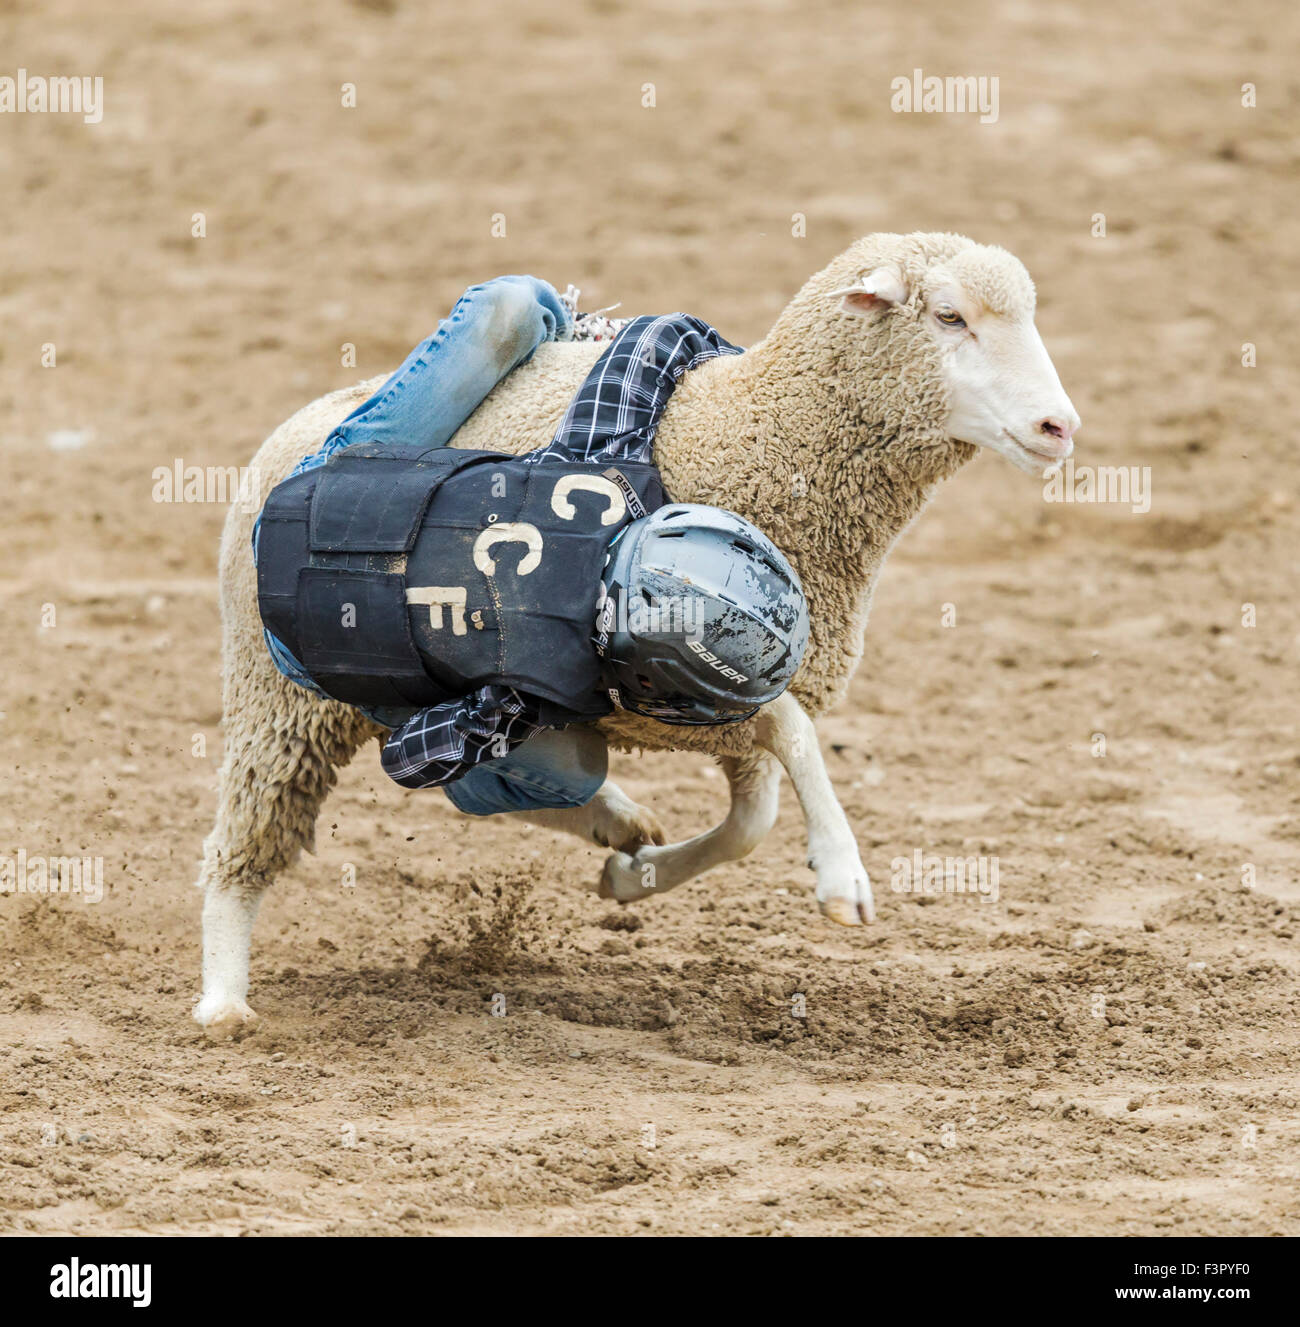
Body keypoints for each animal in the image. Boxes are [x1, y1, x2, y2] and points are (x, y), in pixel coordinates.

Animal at [194, 231, 1080, 1036]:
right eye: (950, 316)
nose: (1058, 426)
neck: (750, 426)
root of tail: (298, 434)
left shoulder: (709, 713)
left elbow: (751, 822)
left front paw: (634, 877)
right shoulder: (681, 682)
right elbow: (792, 731)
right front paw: (841, 873)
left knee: (506, 771)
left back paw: (613, 821)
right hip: (280, 693)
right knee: (246, 842)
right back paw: (223, 1000)